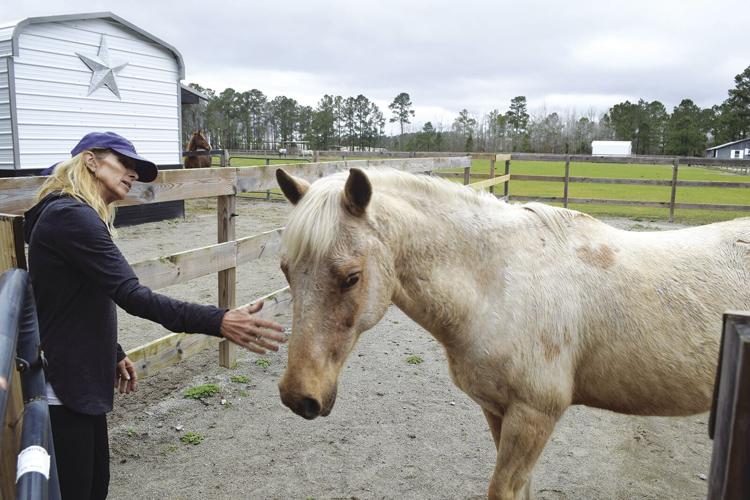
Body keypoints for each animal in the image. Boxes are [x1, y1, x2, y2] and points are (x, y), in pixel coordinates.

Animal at [274, 167, 750, 499]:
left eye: (351, 277)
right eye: (285, 270)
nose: (299, 396)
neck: (502, 283)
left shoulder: (534, 415)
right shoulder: (498, 410)